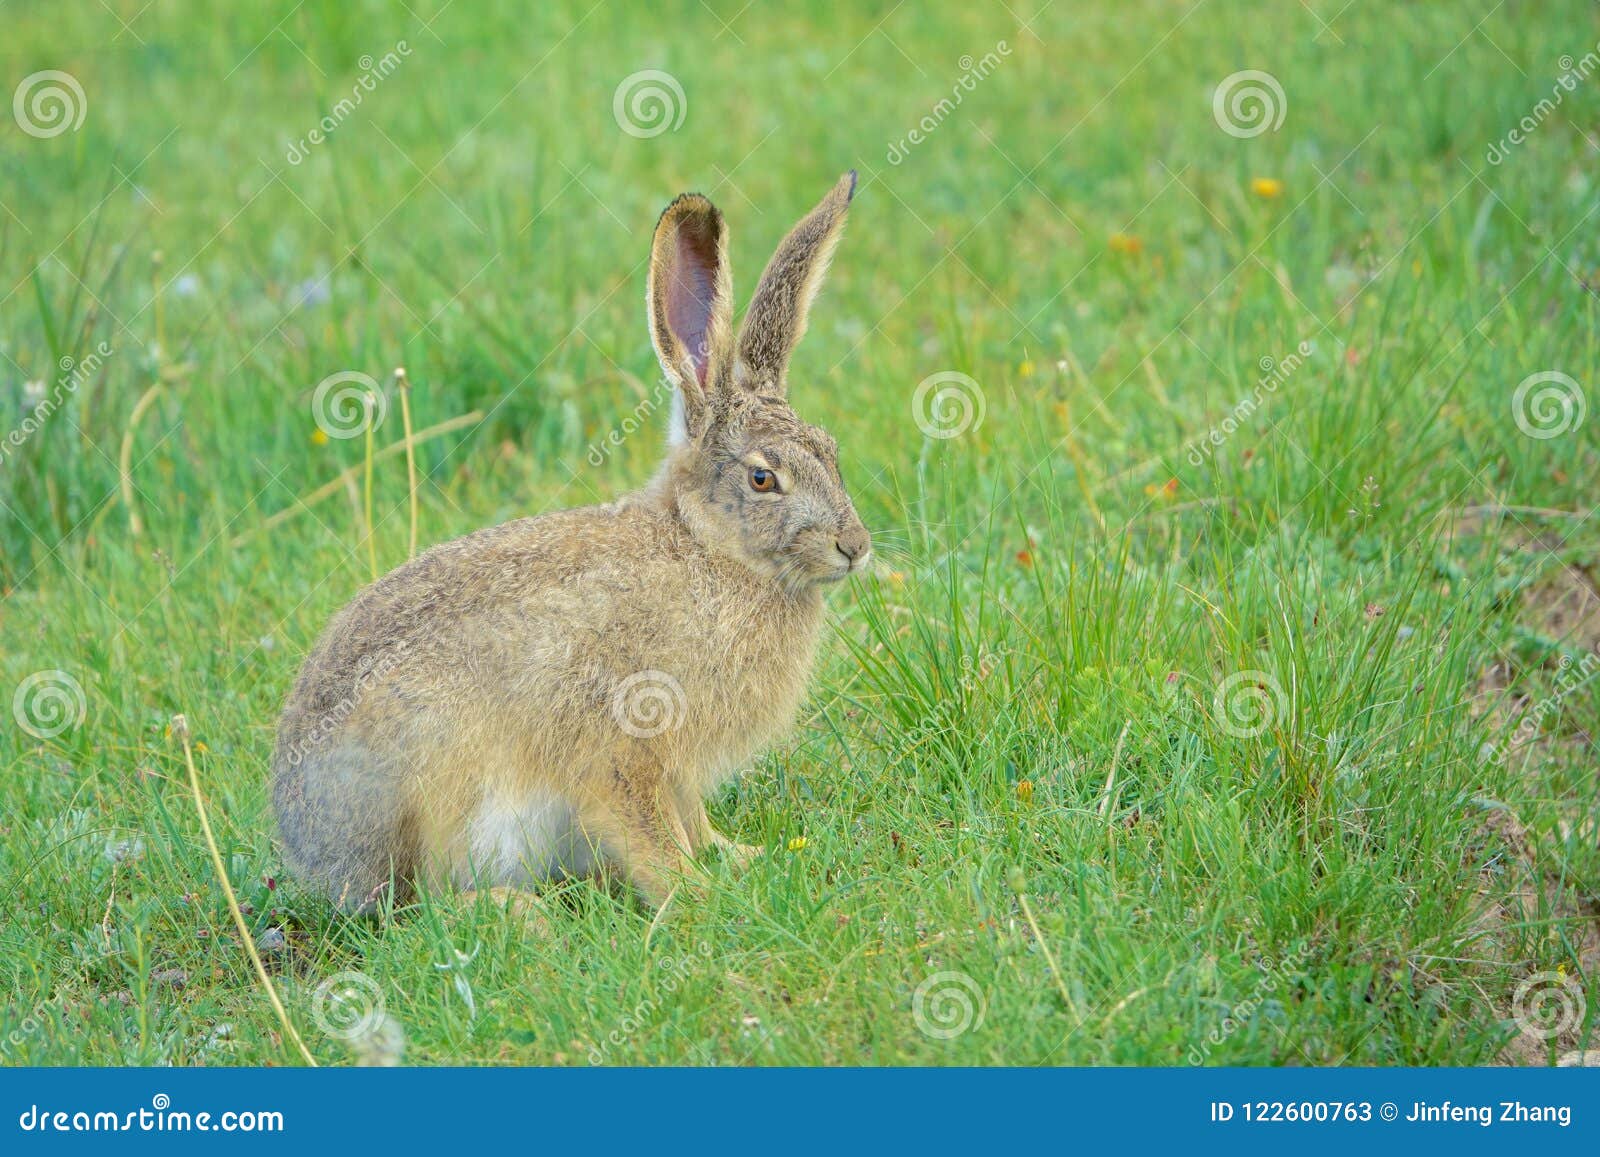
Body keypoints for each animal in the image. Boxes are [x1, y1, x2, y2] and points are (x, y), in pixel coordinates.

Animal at [272, 172, 871, 913]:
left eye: (831, 452)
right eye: (763, 478)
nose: (855, 546)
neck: (709, 550)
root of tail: (312, 847)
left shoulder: (678, 770)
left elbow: (691, 819)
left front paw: (737, 857)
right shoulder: (622, 742)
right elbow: (646, 829)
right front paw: (695, 894)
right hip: (432, 777)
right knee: (421, 903)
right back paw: (516, 912)